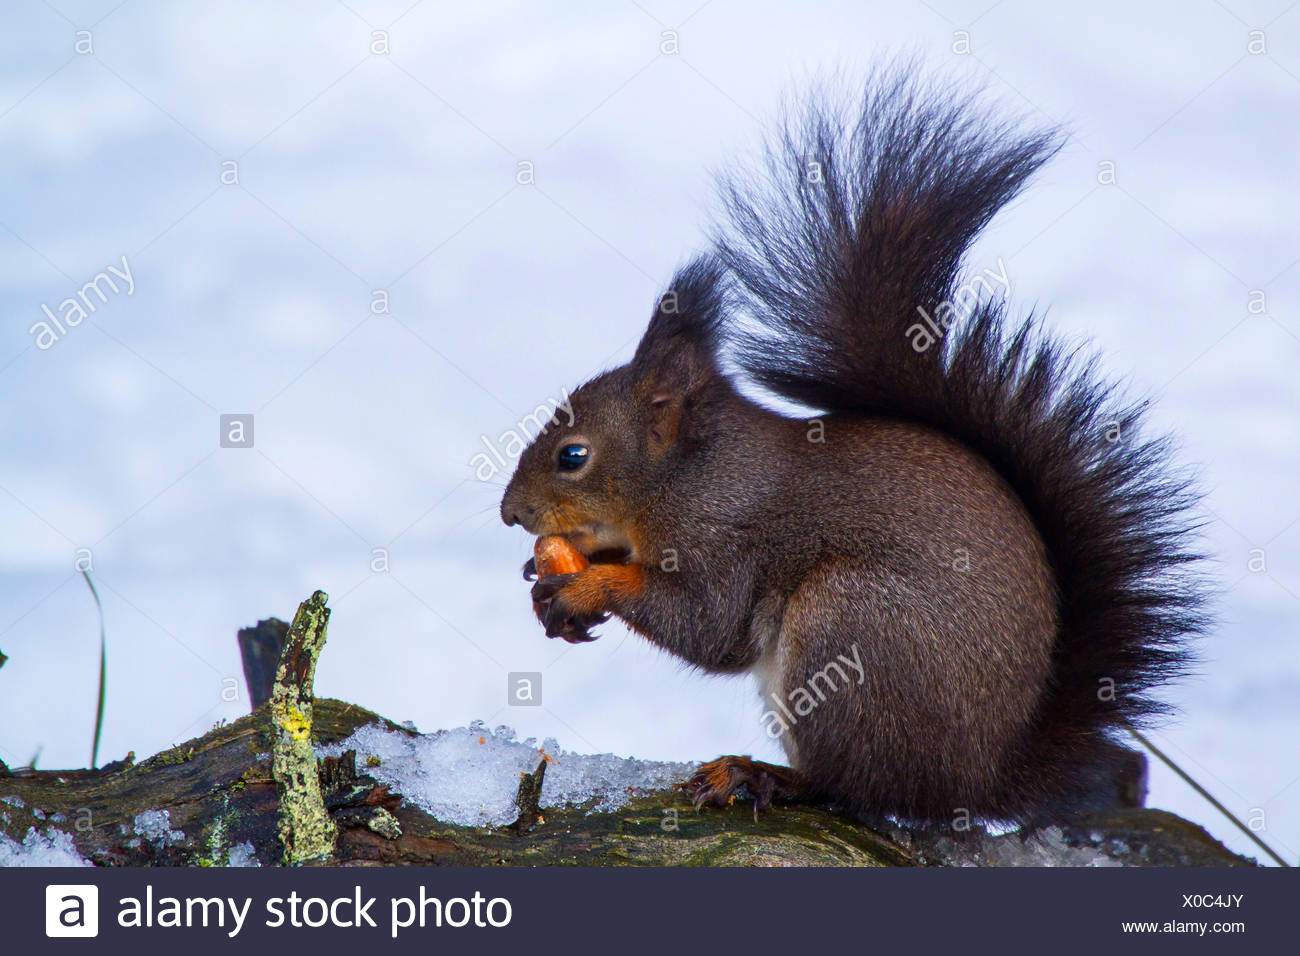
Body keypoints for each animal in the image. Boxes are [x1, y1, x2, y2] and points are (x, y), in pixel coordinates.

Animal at [500, 67, 1207, 827]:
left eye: (572, 456)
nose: (511, 514)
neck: (687, 474)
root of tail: (977, 782)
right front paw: (544, 571)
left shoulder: (727, 536)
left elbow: (705, 626)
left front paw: (588, 584)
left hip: (849, 630)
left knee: (857, 787)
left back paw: (764, 775)